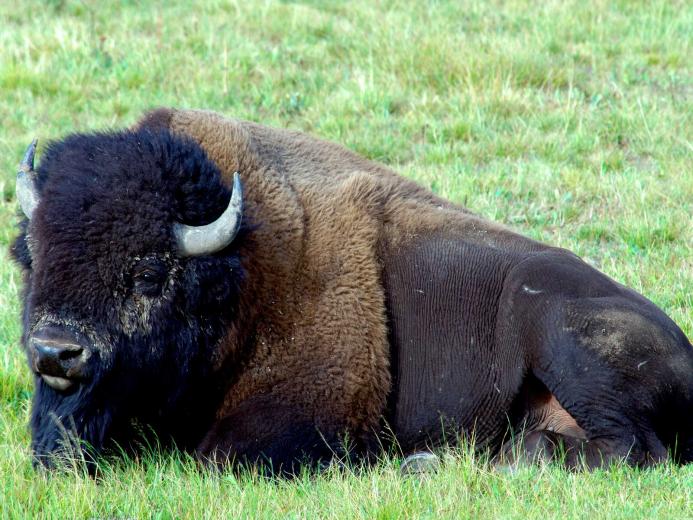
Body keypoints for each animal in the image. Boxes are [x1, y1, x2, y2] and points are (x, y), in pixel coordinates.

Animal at [11, 108, 693, 473]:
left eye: (151, 274)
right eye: (31, 257)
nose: (56, 352)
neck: (244, 268)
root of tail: (685, 351)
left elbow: (217, 458)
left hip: (558, 330)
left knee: (633, 448)